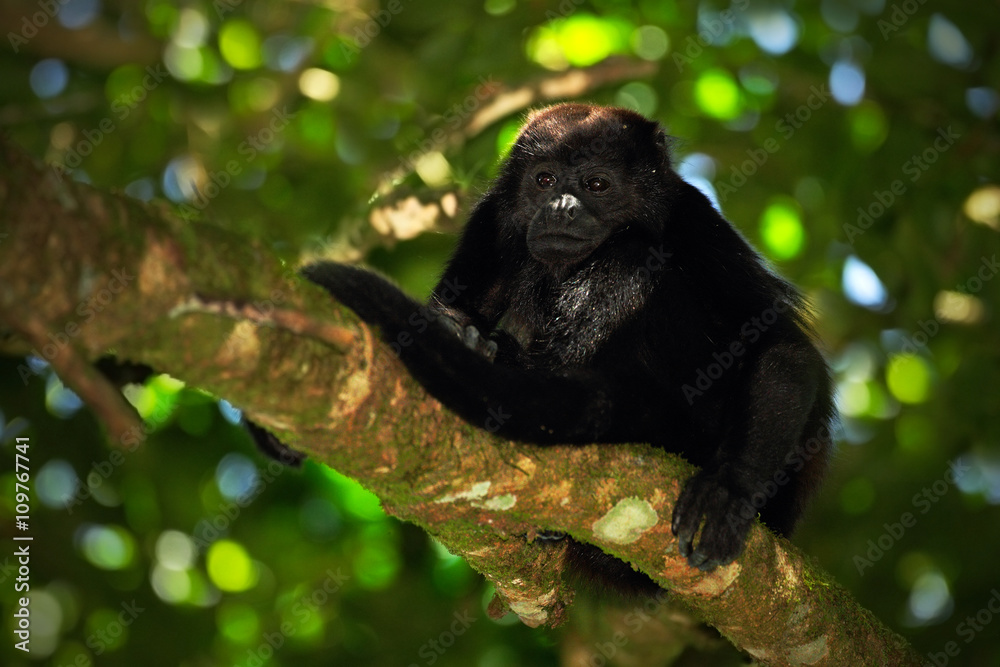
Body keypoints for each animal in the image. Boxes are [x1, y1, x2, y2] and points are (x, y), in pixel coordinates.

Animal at [301, 103, 834, 594]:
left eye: (597, 184)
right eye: (545, 179)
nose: (561, 208)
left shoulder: (695, 221)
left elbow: (777, 342)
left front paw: (730, 488)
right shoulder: (491, 217)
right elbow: (445, 309)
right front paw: (463, 332)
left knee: (631, 256)